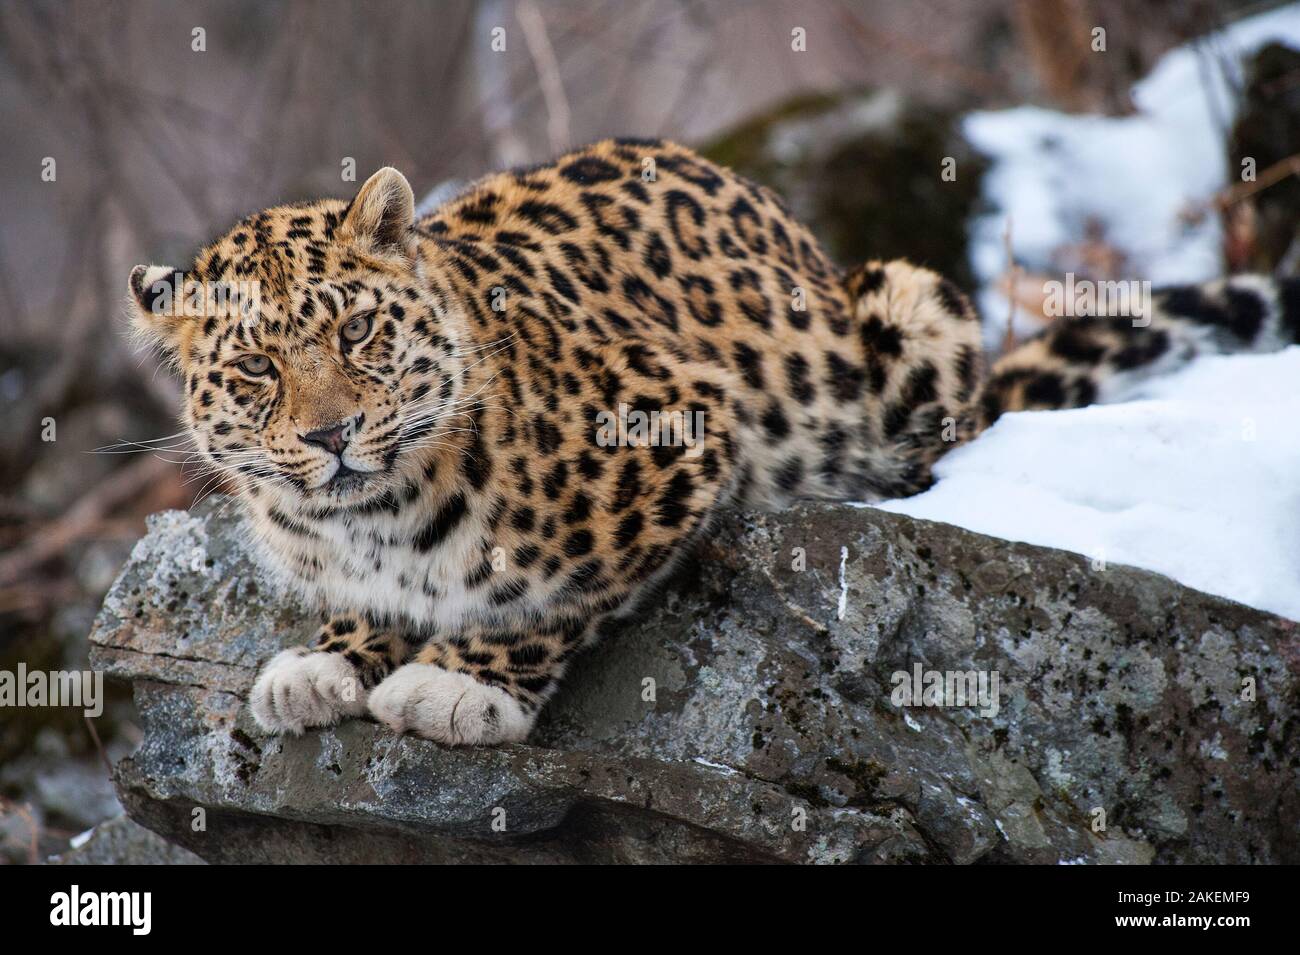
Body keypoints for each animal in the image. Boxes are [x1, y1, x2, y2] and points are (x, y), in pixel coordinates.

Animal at [127, 137, 1300, 746]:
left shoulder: (677, 435)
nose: (328, 435)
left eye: (358, 333)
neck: (366, 516)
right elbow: (366, 604)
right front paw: (327, 659)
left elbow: (550, 596)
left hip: (909, 309)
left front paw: (458, 685)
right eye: (256, 369)